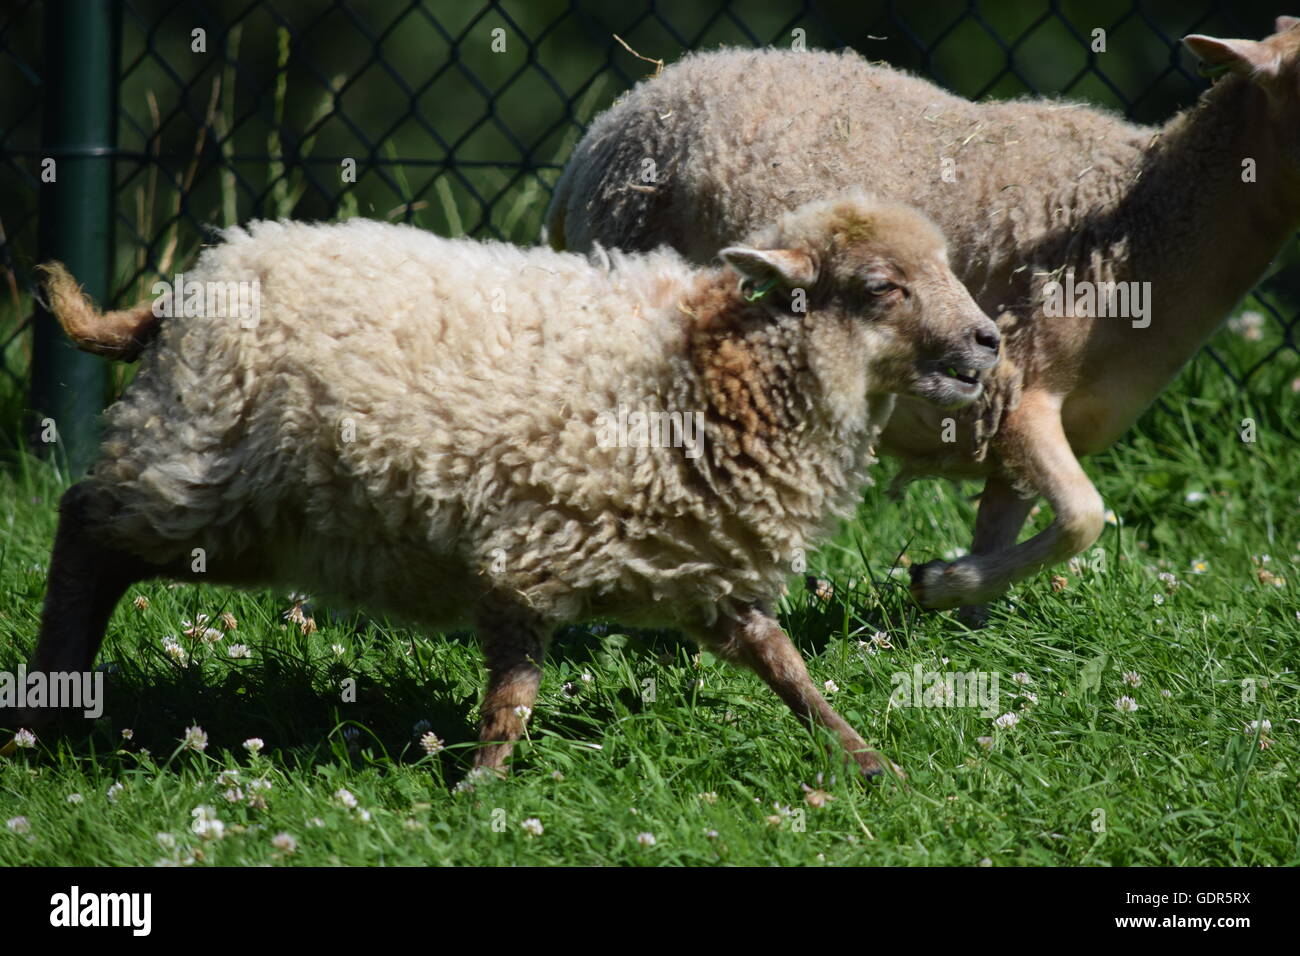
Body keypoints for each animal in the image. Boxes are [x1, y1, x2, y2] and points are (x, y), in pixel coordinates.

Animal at [3, 194, 1000, 777]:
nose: (989, 341)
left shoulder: (701, 563)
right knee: (85, 527)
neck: (711, 366)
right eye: (882, 287)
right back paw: (49, 705)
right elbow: (514, 689)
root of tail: (182, 293)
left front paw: (866, 761)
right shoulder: (527, 550)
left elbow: (782, 662)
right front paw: (480, 789)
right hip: (203, 474)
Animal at [545, 17, 1300, 620]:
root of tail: (597, 135)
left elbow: (1014, 526)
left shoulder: (1012, 423)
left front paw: (967, 614)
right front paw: (936, 583)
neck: (1146, 222)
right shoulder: (1021, 384)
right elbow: (1085, 518)